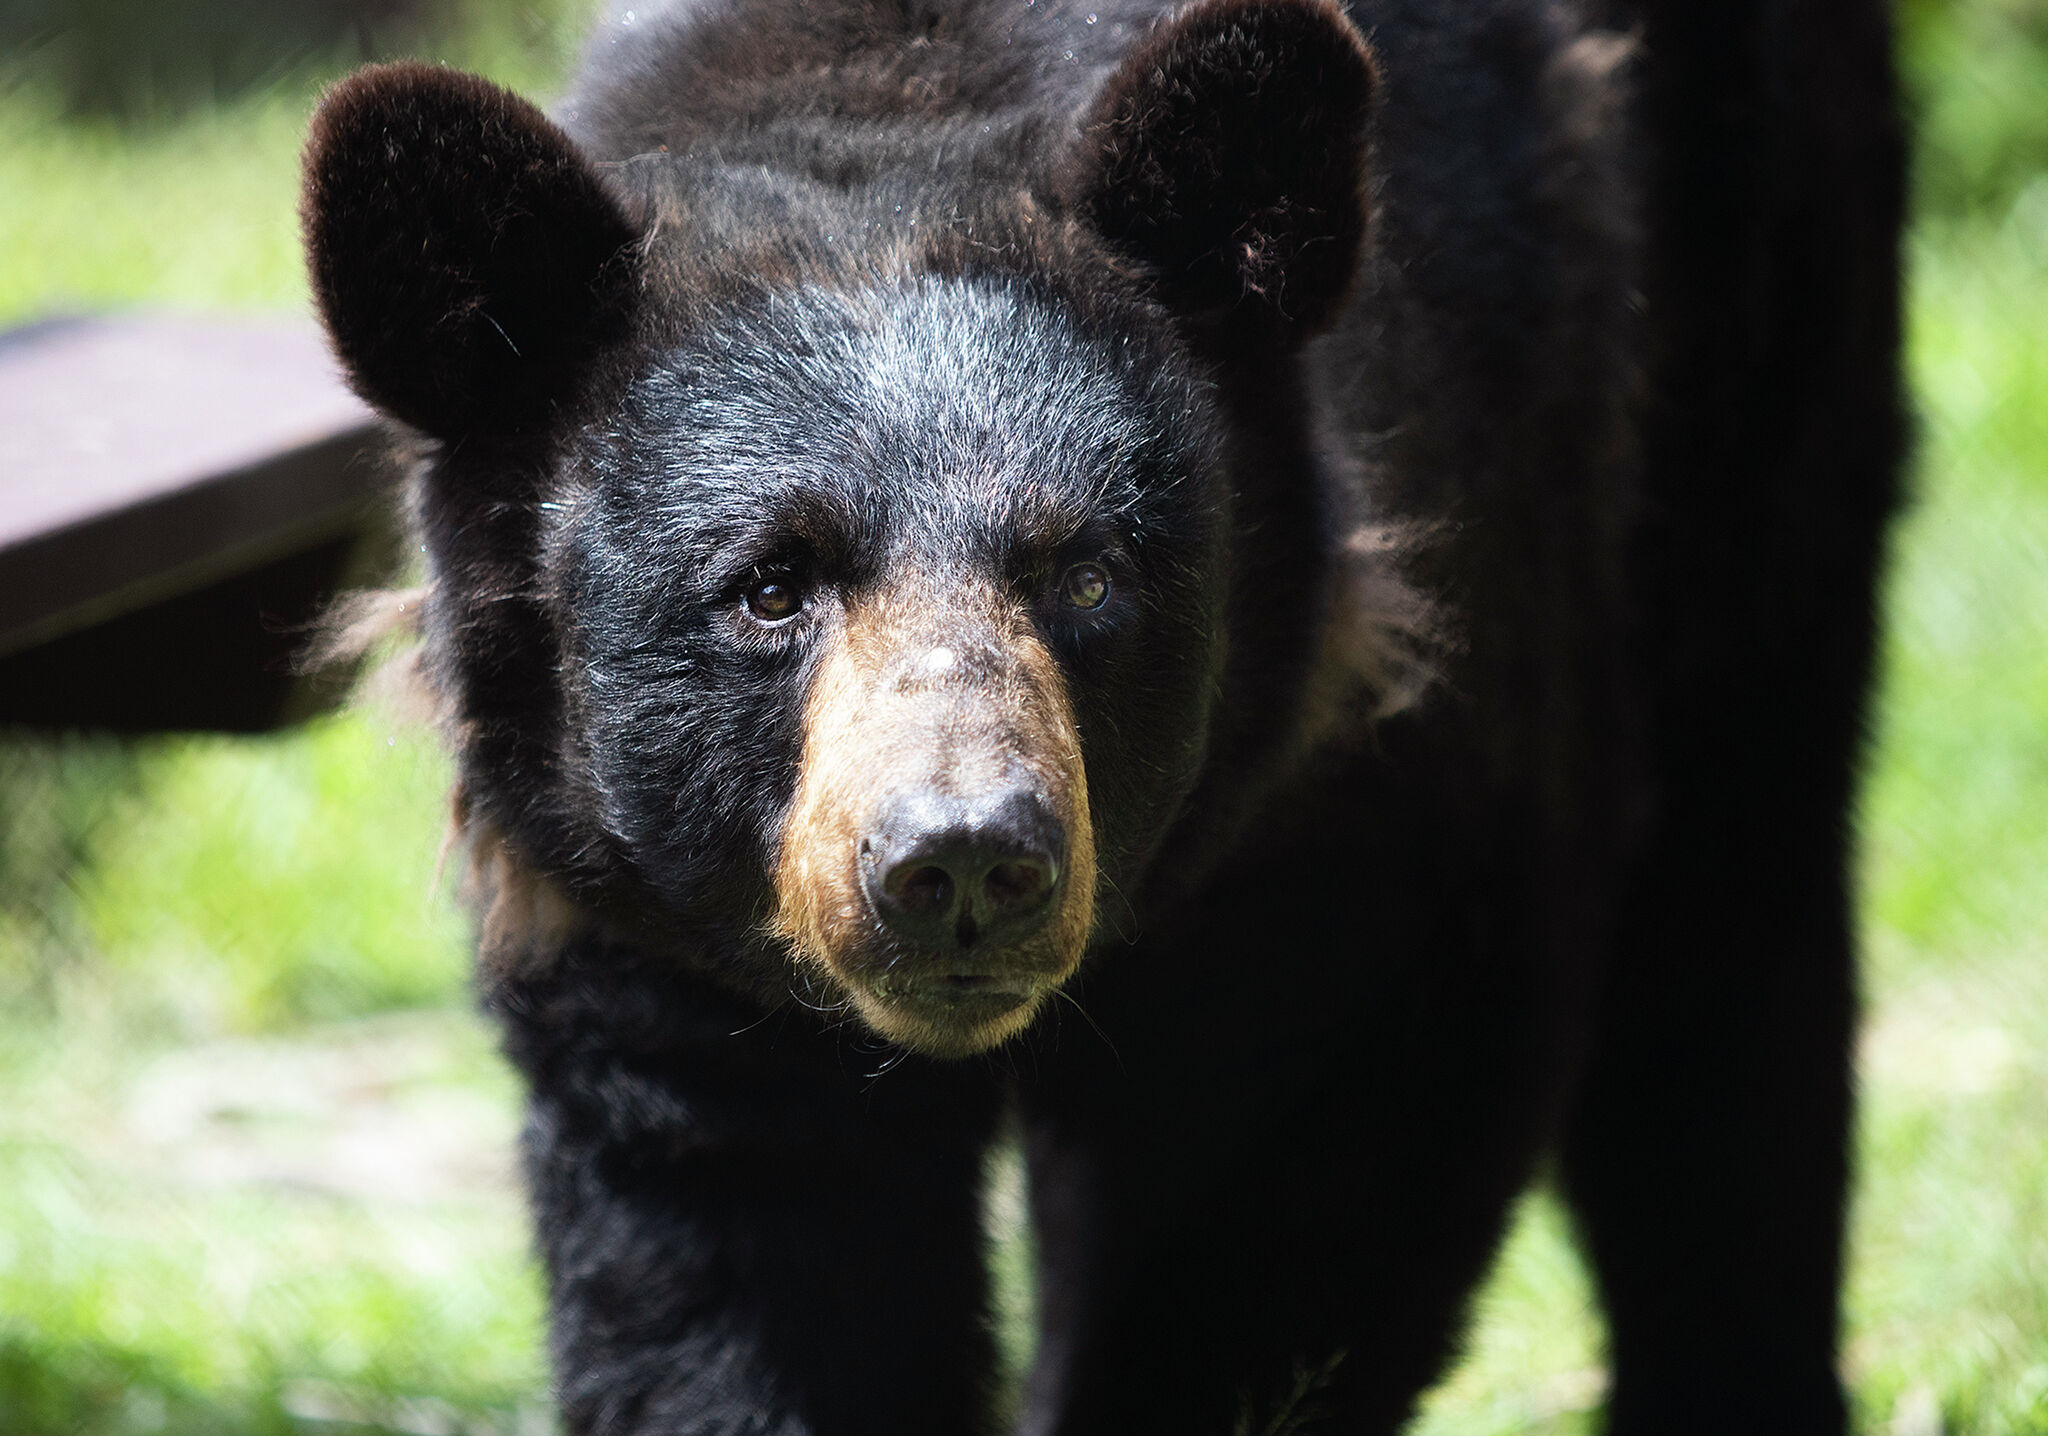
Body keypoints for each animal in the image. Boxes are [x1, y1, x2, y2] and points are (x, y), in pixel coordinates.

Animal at [299, 0, 1904, 1431]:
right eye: (767, 587)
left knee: (1732, 906)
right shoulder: (643, 916)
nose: (960, 860)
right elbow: (738, 1235)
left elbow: (1313, 1147)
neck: (886, 79)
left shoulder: (1370, 771)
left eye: (1085, 571)